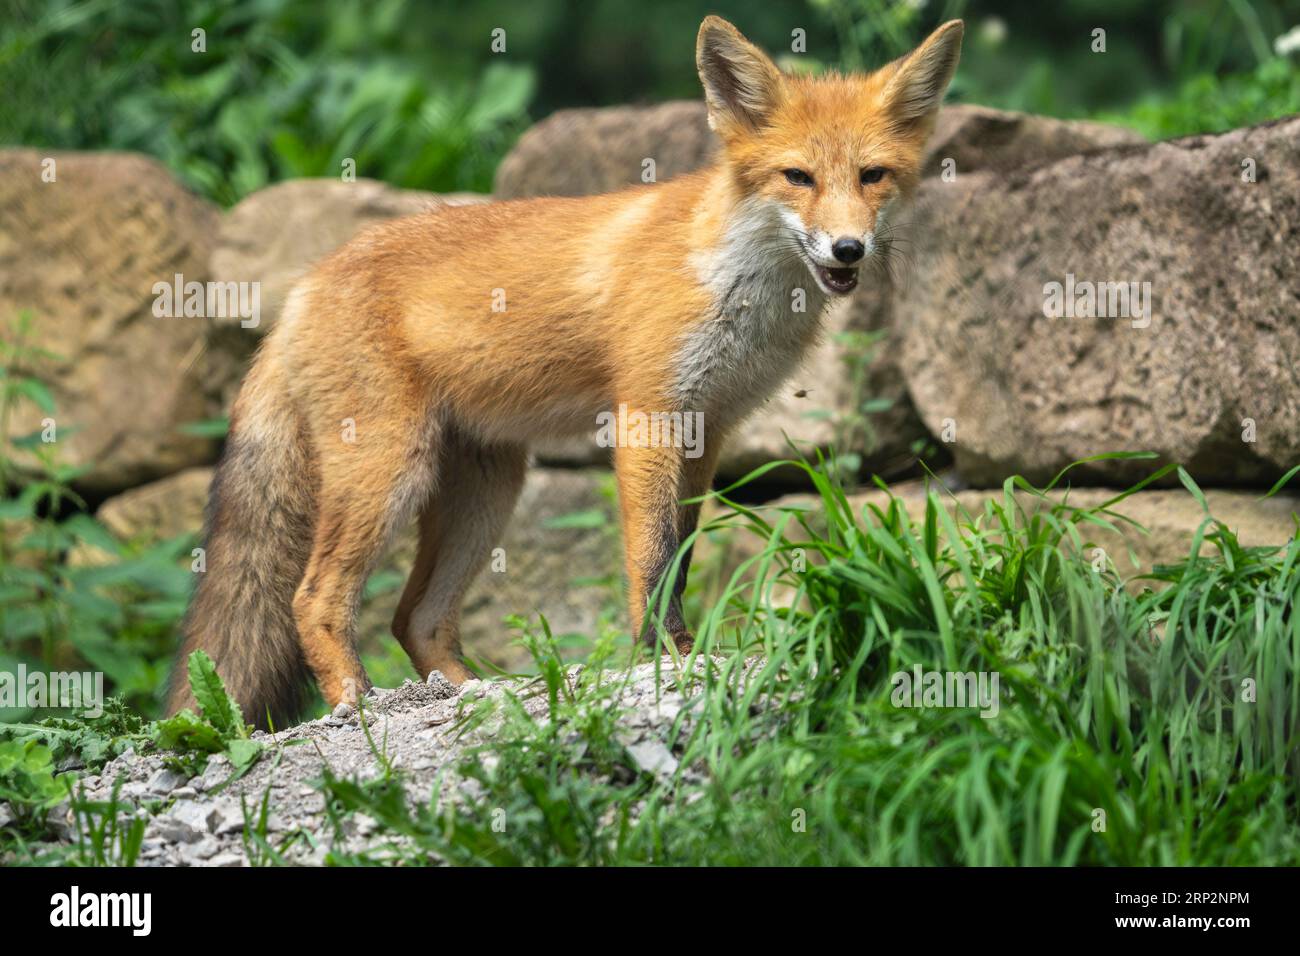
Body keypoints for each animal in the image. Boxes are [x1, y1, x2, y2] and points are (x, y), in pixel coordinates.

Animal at [167, 16, 964, 726]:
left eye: (872, 177)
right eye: (797, 177)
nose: (848, 249)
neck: (734, 281)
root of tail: (302, 288)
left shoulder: (708, 429)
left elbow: (681, 556)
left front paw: (678, 649)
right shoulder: (647, 417)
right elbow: (651, 558)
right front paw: (661, 656)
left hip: (485, 495)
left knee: (414, 619)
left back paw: (470, 697)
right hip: (390, 473)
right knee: (313, 598)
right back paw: (355, 703)